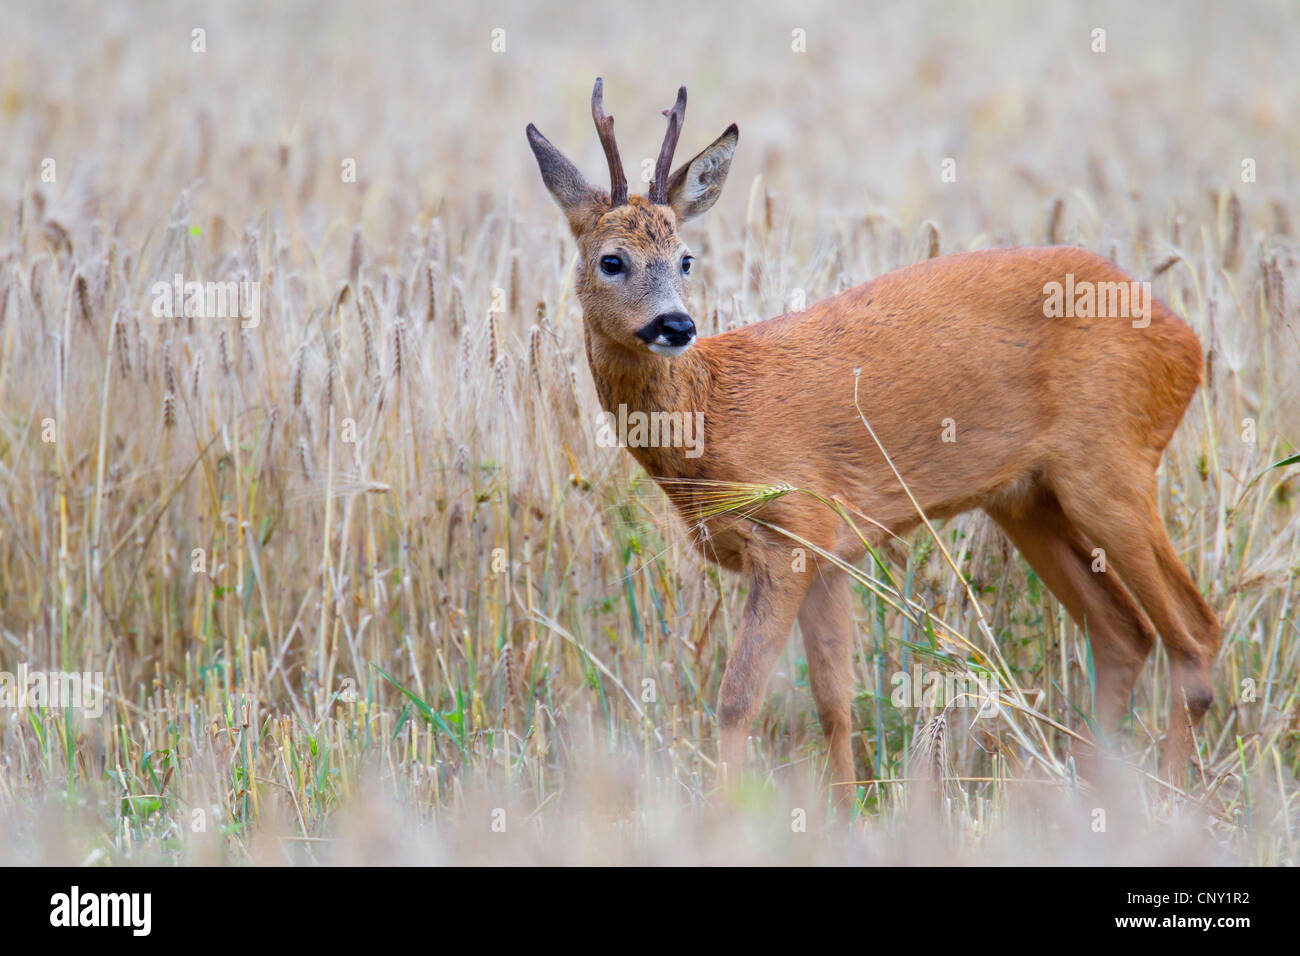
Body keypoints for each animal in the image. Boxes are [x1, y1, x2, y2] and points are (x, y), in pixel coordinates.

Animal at [525, 78, 1220, 808]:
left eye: (686, 259)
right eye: (612, 260)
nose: (676, 325)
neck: (711, 414)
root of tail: (1187, 342)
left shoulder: (791, 531)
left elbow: (738, 698)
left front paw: (727, 812)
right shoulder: (829, 552)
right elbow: (835, 701)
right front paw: (846, 809)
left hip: (1110, 464)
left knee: (1193, 634)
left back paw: (1172, 800)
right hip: (1029, 498)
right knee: (1123, 632)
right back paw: (1094, 795)